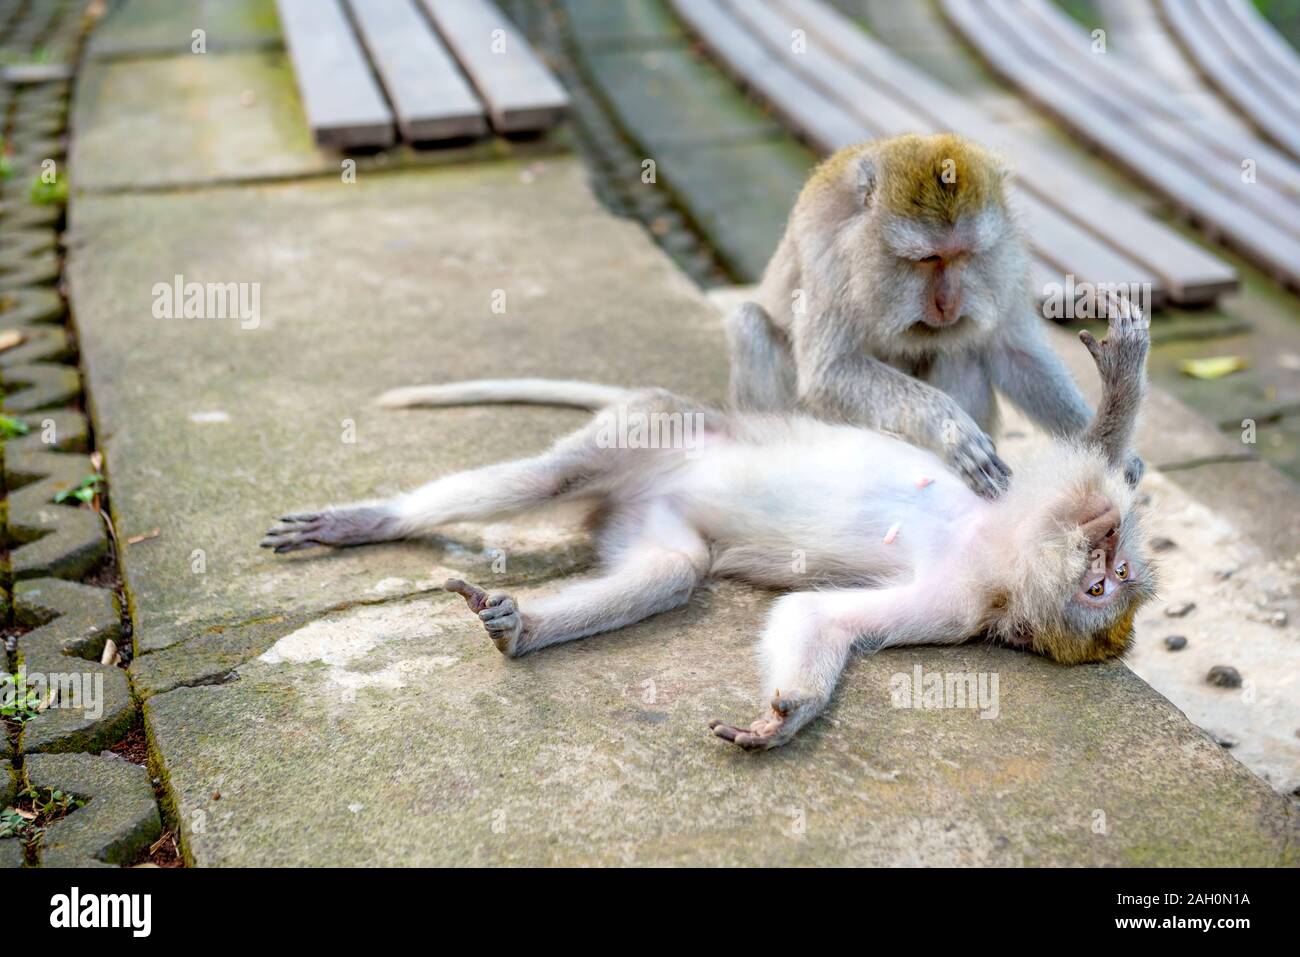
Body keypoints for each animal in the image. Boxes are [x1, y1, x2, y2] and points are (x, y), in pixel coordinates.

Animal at [261, 305, 1155, 751]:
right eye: (1109, 564)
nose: (1106, 549)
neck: (999, 561)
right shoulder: (1019, 510)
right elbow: (1089, 459)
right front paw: (1120, 396)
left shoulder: (962, 604)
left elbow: (816, 616)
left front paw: (783, 719)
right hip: (648, 423)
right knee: (549, 478)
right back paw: (374, 521)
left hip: (650, 509)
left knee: (670, 571)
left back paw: (525, 628)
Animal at [729, 132, 1144, 498]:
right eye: (929, 258)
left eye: (964, 255)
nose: (948, 303)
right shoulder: (830, 256)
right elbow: (831, 370)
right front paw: (949, 426)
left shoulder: (1005, 262)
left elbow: (1015, 355)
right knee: (748, 323)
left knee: (961, 352)